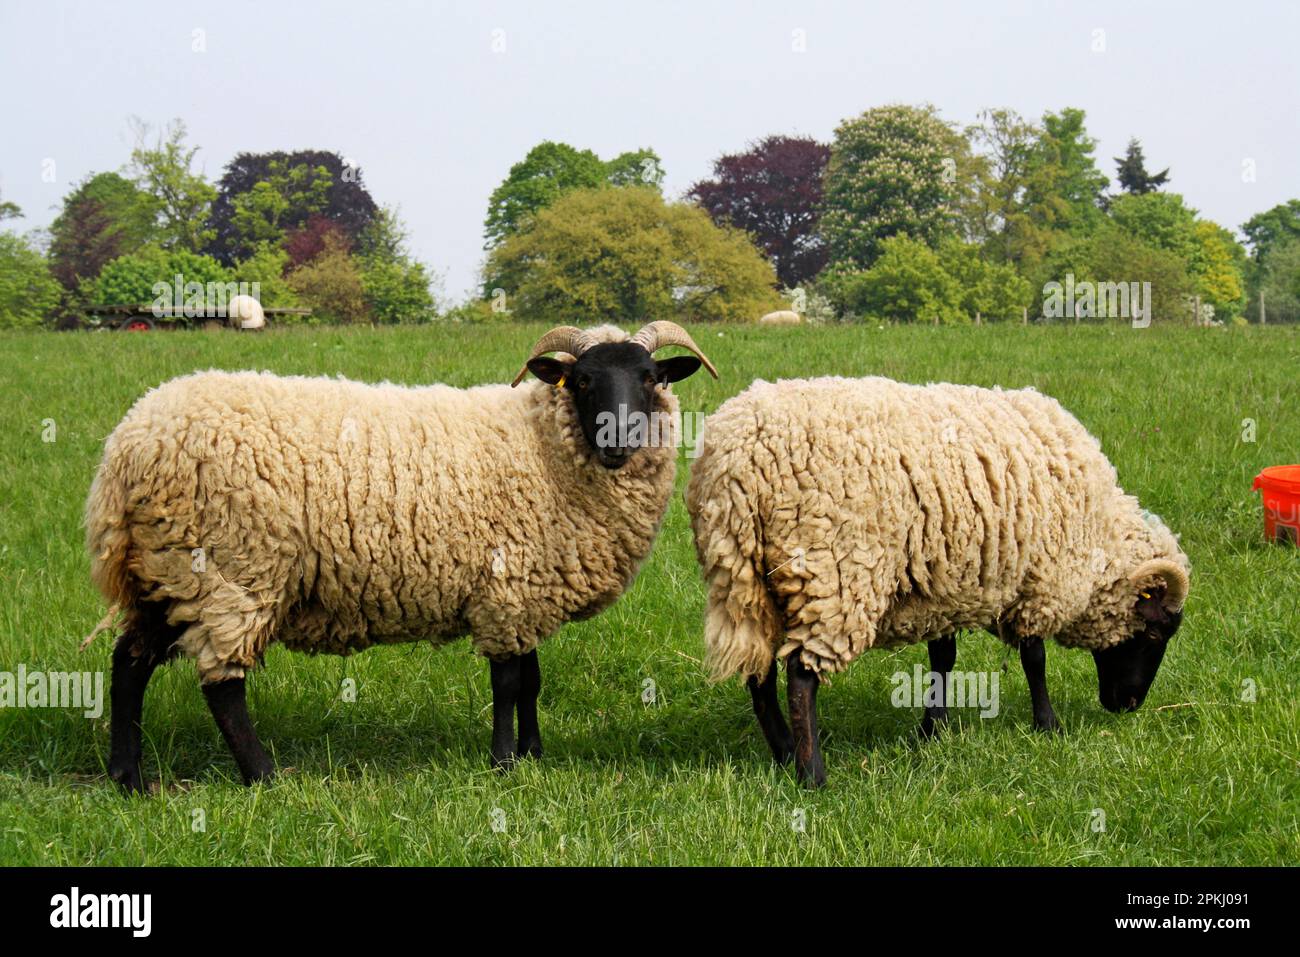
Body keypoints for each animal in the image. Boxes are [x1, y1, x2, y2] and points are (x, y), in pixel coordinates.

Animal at [83, 321, 717, 792]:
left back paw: (129, 778)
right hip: (233, 568)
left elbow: (532, 679)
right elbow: (509, 684)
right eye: (582, 381)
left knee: (128, 662)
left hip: (167, 569)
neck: (543, 448)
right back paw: (264, 777)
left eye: (650, 378)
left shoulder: (523, 588)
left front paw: (535, 754)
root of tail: (129, 443)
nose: (617, 440)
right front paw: (504, 764)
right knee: (221, 683)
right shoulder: (505, 588)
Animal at [685, 375, 1190, 786]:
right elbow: (1035, 659)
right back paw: (813, 776)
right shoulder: (1037, 579)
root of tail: (734, 463)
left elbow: (943, 659)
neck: (1100, 536)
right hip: (833, 575)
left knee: (759, 674)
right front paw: (1048, 725)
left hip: (745, 579)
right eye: (1155, 632)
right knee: (800, 675)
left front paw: (933, 730)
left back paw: (786, 755)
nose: (1127, 705)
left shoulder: (944, 579)